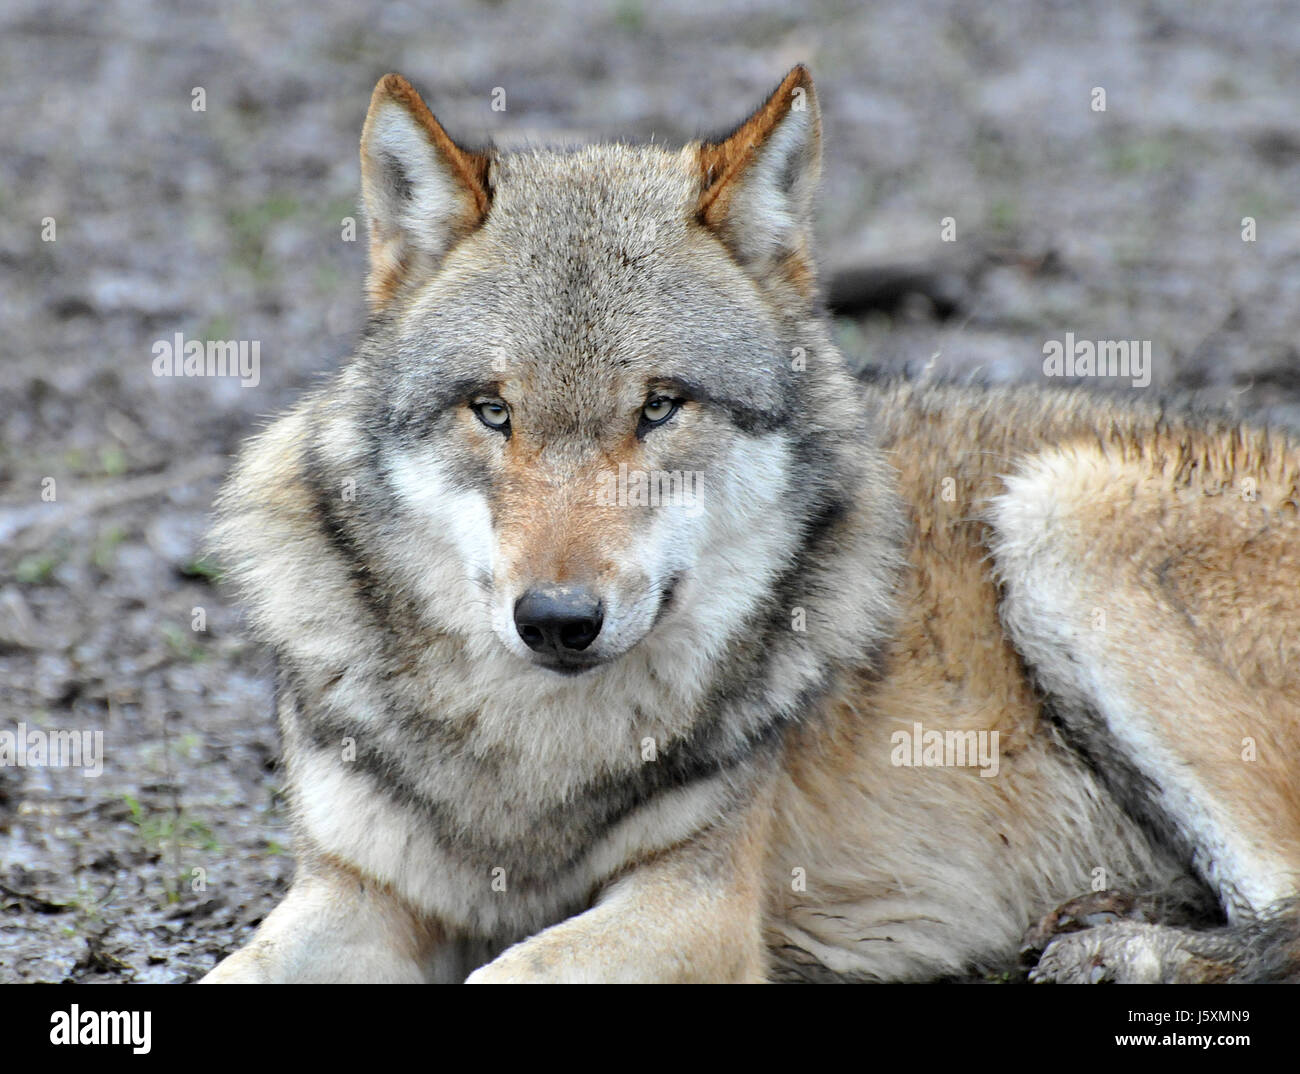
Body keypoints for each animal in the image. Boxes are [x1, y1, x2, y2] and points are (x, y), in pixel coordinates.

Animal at [203, 67, 1300, 983]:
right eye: (492, 410)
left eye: (659, 406)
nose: (556, 620)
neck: (535, 758)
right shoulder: (355, 892)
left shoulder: (696, 904)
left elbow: (507, 973)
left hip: (1058, 508)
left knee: (1279, 918)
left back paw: (1114, 949)